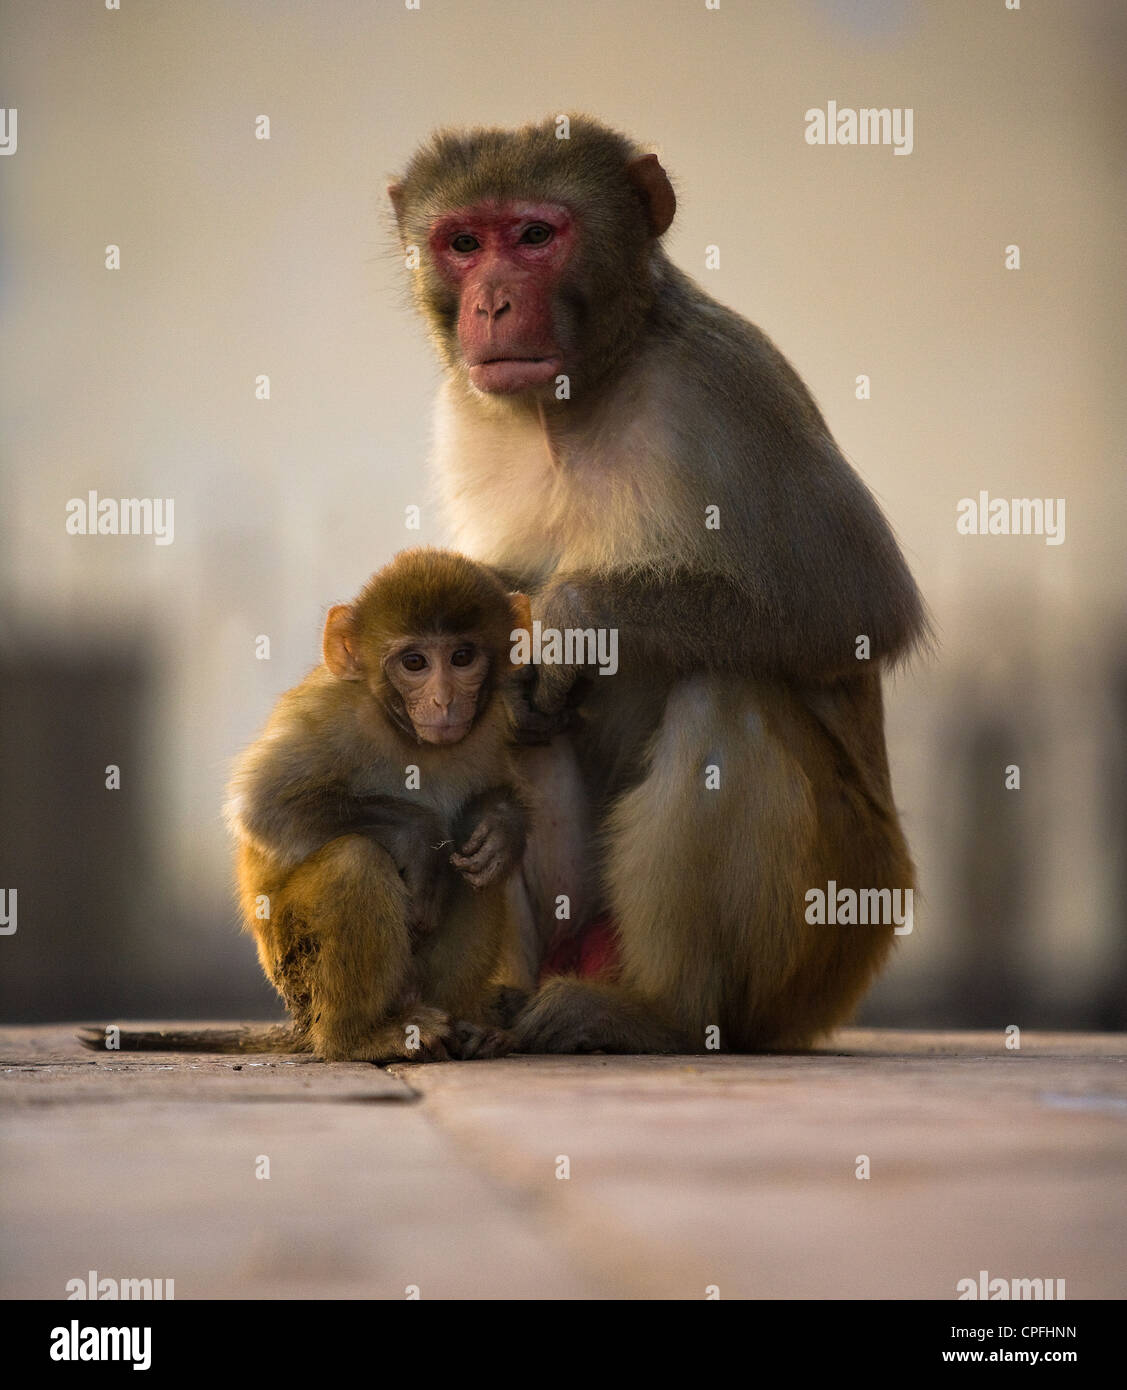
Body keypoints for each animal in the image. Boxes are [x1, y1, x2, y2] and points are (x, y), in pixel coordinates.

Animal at [79, 548, 532, 1063]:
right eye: (414, 662)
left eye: (462, 658)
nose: (443, 700)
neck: (406, 735)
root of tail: (300, 1023)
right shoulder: (334, 711)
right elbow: (264, 805)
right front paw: (419, 836)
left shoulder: (495, 724)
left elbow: (488, 823)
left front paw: (501, 826)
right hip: (299, 972)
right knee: (354, 861)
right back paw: (361, 1036)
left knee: (476, 875)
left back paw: (468, 1028)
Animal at [387, 115, 929, 1055]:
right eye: (462, 244)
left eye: (533, 236)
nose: (491, 304)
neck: (566, 410)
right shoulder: (463, 412)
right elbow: (472, 635)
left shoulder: (728, 386)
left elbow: (856, 599)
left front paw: (572, 616)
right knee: (500, 715)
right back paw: (497, 1010)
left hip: (827, 943)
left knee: (726, 697)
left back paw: (659, 1016)